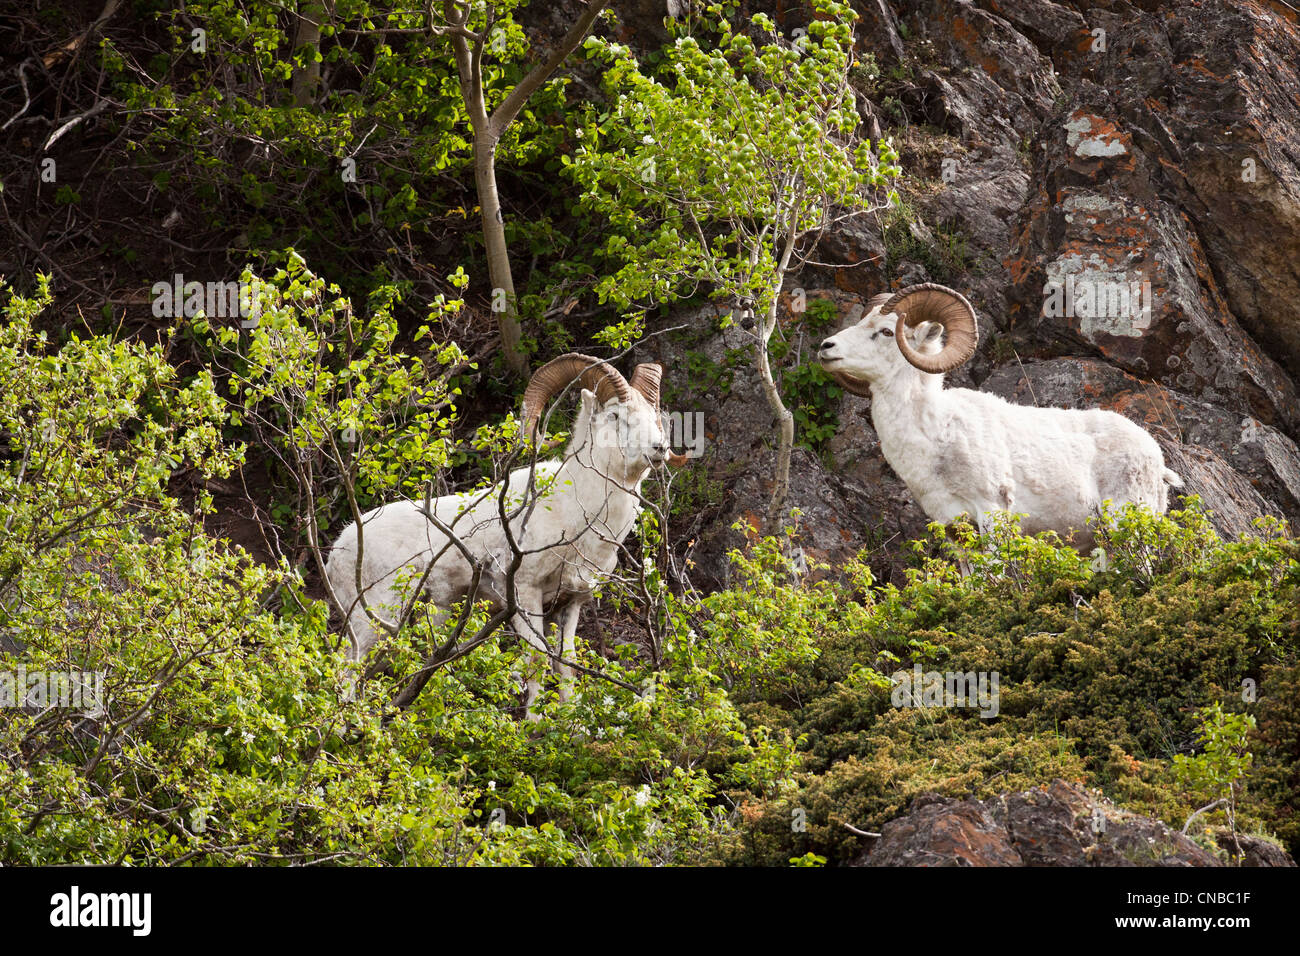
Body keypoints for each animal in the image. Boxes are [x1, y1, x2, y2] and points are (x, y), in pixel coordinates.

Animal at [324, 353, 676, 716]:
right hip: (374, 619)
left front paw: (569, 717)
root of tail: (338, 550)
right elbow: (537, 660)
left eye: (652, 415)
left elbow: (565, 663)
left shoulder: (571, 602)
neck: (576, 515)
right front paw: (534, 721)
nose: (659, 448)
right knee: (348, 668)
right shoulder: (523, 595)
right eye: (615, 415)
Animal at [816, 283, 1183, 549]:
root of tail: (1156, 460)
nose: (826, 347)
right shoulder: (953, 527)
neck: (936, 436)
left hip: (1128, 527)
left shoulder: (992, 513)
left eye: (886, 331)